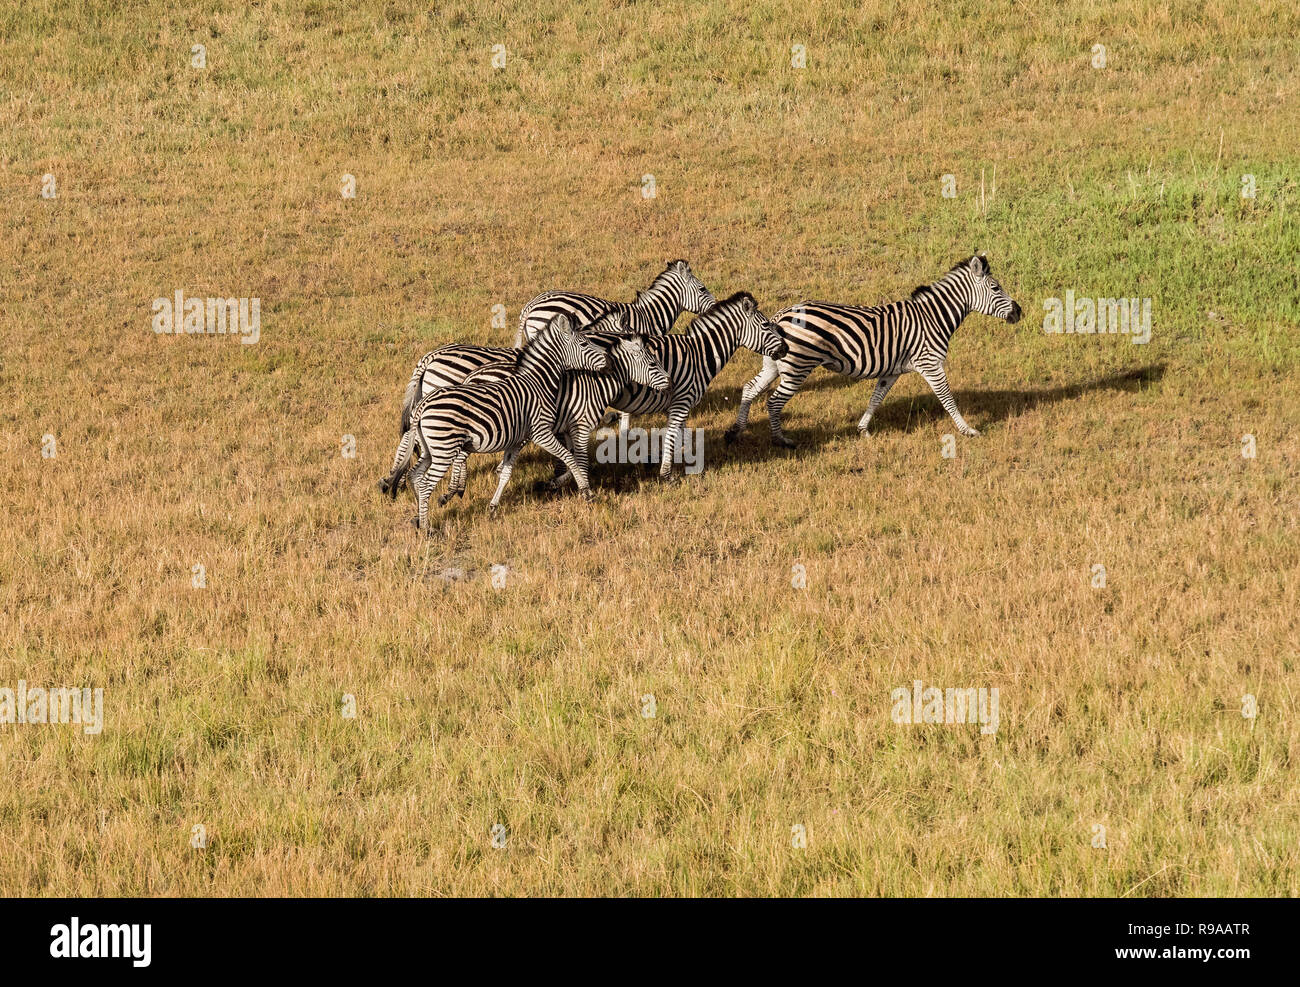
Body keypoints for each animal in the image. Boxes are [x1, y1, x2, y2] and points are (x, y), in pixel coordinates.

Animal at [404, 314, 610, 527]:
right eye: (584, 343)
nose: (607, 359)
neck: (538, 382)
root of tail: (423, 405)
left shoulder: (516, 441)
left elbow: (506, 473)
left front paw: (493, 508)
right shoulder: (541, 432)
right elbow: (569, 457)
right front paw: (587, 492)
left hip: (432, 449)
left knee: (415, 474)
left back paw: (418, 518)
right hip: (444, 449)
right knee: (426, 483)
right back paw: (427, 527)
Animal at [551, 291, 787, 486]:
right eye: (766, 326)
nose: (785, 348)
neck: (700, 354)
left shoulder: (676, 404)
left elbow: (679, 435)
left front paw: (659, 459)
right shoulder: (682, 401)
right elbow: (673, 435)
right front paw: (666, 474)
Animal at [725, 254, 1022, 448]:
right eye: (996, 287)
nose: (1020, 311)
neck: (933, 317)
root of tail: (781, 314)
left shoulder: (892, 371)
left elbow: (876, 399)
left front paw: (862, 429)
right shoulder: (930, 363)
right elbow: (947, 399)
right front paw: (967, 430)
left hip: (774, 363)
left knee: (749, 389)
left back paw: (736, 432)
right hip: (798, 366)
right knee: (774, 402)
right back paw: (781, 440)